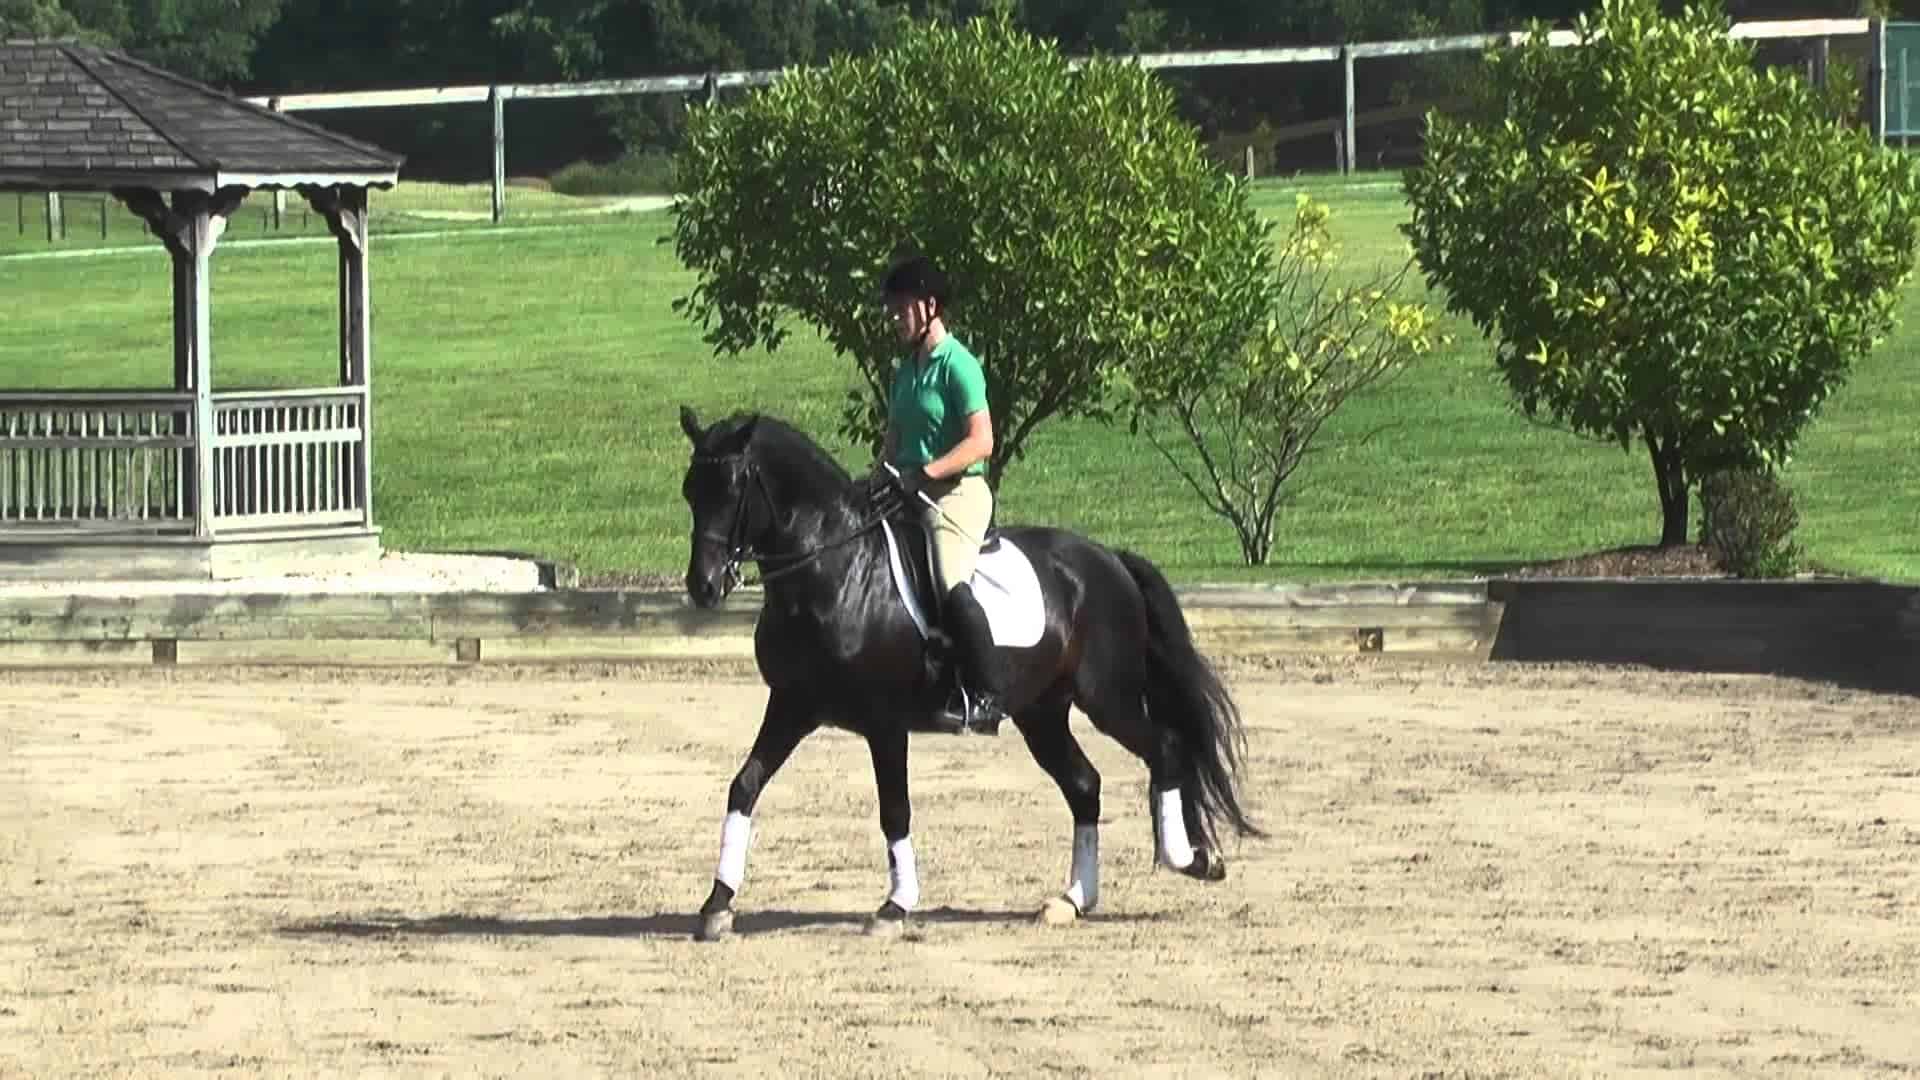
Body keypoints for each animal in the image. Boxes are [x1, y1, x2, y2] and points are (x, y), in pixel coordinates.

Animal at [677, 405, 1262, 940]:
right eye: (689, 492)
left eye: (733, 489)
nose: (703, 587)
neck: (836, 572)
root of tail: (1108, 559)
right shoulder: (792, 704)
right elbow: (744, 786)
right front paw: (718, 905)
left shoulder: (884, 723)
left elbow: (895, 810)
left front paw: (895, 907)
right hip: (1041, 712)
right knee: (1084, 784)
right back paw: (1073, 899)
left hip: (1107, 697)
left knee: (1164, 747)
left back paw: (1189, 858)